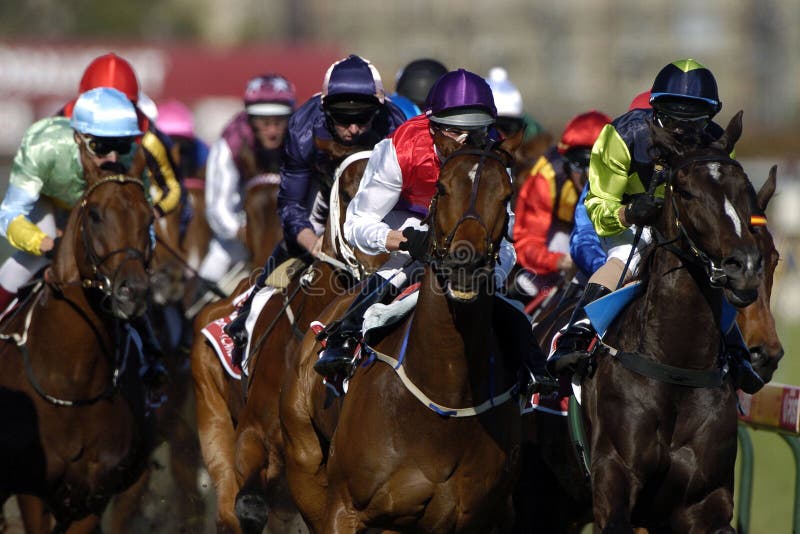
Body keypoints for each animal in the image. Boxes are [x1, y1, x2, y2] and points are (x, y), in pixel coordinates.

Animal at [0, 144, 157, 532]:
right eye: (96, 215)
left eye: (149, 219)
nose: (133, 292)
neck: (72, 383)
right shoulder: (32, 492)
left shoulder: (91, 497)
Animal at [282, 132, 524, 532]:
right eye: (442, 187)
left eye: (506, 195)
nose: (465, 265)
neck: (443, 395)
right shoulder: (343, 508)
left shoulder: (475, 516)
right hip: (304, 462)